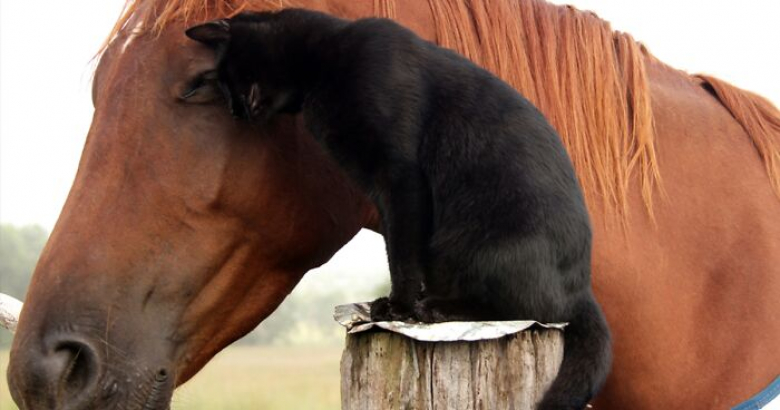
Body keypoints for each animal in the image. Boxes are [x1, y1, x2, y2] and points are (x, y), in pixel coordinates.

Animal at [7, 0, 779, 409]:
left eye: (192, 88)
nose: (45, 370)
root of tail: (577, 286)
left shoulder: (400, 177)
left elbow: (404, 255)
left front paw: (397, 308)